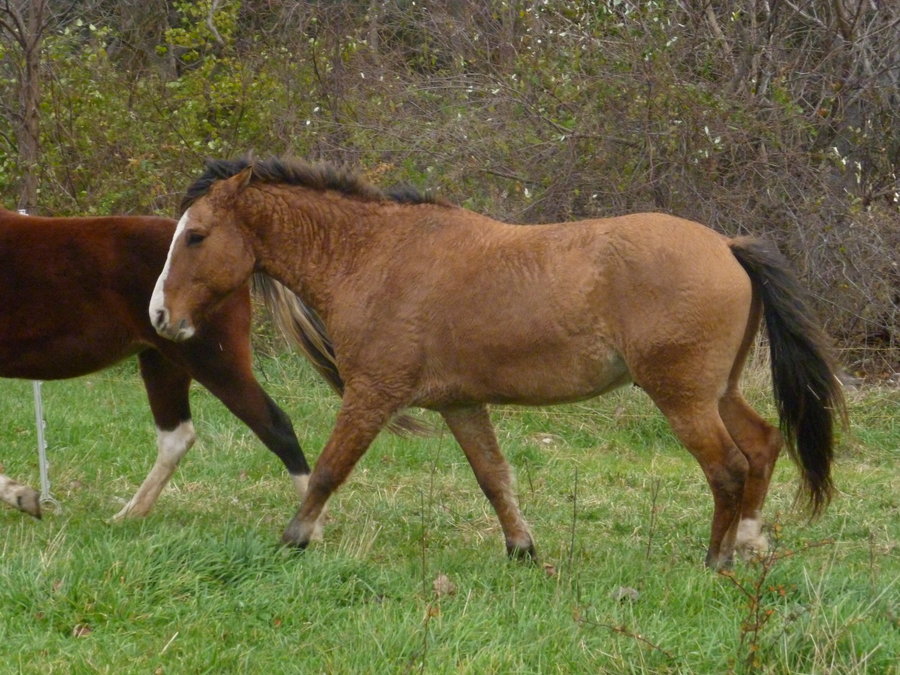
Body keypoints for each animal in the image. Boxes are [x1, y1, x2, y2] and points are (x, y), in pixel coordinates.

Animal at [0, 206, 338, 522]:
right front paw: (21, 496)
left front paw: (22, 496)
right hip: (164, 360)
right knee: (176, 437)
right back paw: (128, 515)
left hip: (212, 360)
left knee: (276, 426)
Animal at [150, 158, 846, 569]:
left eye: (197, 236)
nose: (159, 315)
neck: (374, 255)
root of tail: (726, 245)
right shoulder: (461, 405)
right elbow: (494, 479)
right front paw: (522, 547)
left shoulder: (372, 394)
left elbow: (327, 469)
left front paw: (296, 536)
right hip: (717, 391)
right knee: (762, 446)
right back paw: (749, 540)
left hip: (682, 397)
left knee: (727, 466)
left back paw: (715, 560)